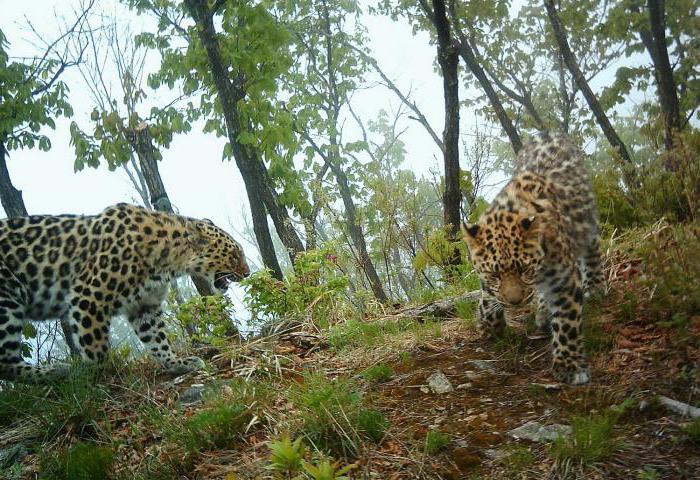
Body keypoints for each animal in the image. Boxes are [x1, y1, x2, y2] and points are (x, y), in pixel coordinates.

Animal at [0, 203, 252, 382]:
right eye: (233, 255)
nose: (247, 273)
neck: (168, 261)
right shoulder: (88, 296)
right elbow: (96, 349)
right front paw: (96, 378)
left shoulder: (144, 306)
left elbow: (158, 339)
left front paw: (177, 364)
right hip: (7, 300)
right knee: (6, 362)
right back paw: (53, 372)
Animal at [462, 132, 604, 386]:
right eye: (494, 274)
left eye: (524, 269)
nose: (515, 302)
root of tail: (548, 133)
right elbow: (488, 297)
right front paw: (488, 324)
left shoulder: (564, 278)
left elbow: (567, 322)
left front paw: (570, 365)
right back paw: (543, 312)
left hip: (587, 220)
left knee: (592, 248)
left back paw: (595, 286)